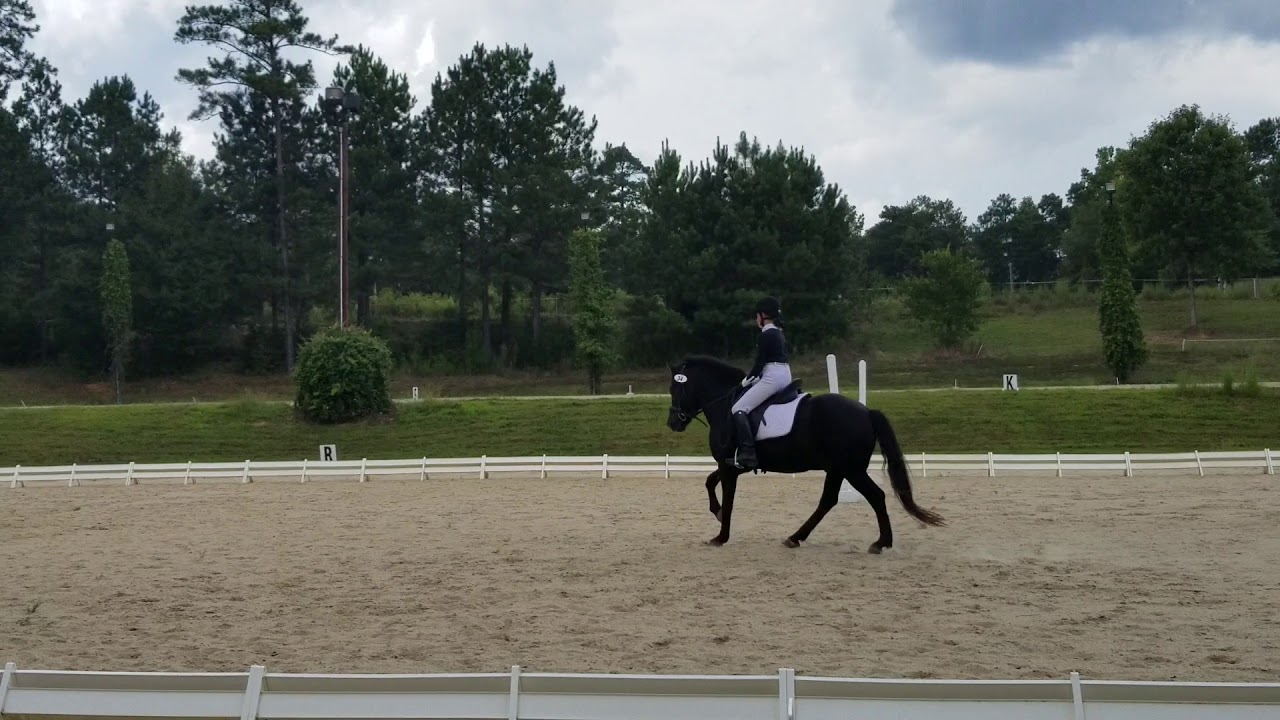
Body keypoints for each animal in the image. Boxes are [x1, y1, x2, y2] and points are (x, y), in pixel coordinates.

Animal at [665, 354, 945, 553]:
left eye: (675, 389)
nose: (673, 423)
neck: (725, 404)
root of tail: (866, 412)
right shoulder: (731, 465)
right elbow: (709, 481)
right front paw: (718, 513)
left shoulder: (729, 467)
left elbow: (728, 497)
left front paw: (721, 535)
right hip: (837, 469)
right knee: (828, 501)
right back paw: (795, 537)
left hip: (851, 470)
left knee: (875, 496)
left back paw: (881, 543)